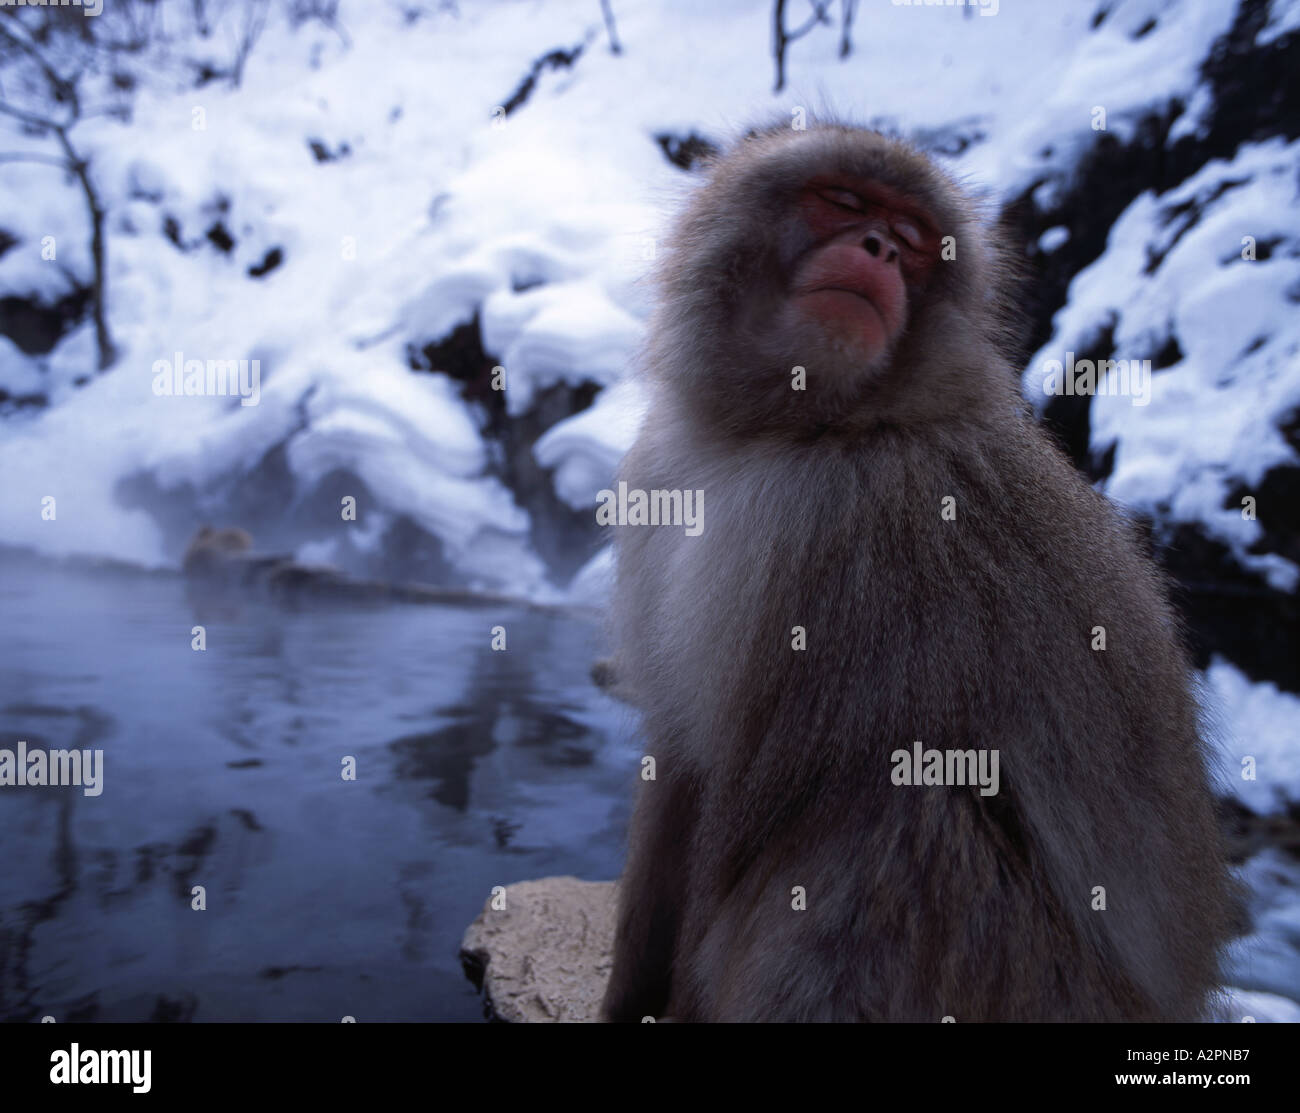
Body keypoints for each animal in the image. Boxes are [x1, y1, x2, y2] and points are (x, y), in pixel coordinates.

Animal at [601, 123, 1235, 1023]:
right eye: (845, 202)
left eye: (912, 240)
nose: (880, 249)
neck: (797, 430)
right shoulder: (664, 473)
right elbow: (681, 764)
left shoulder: (828, 533)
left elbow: (750, 810)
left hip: (1033, 986)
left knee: (900, 812)